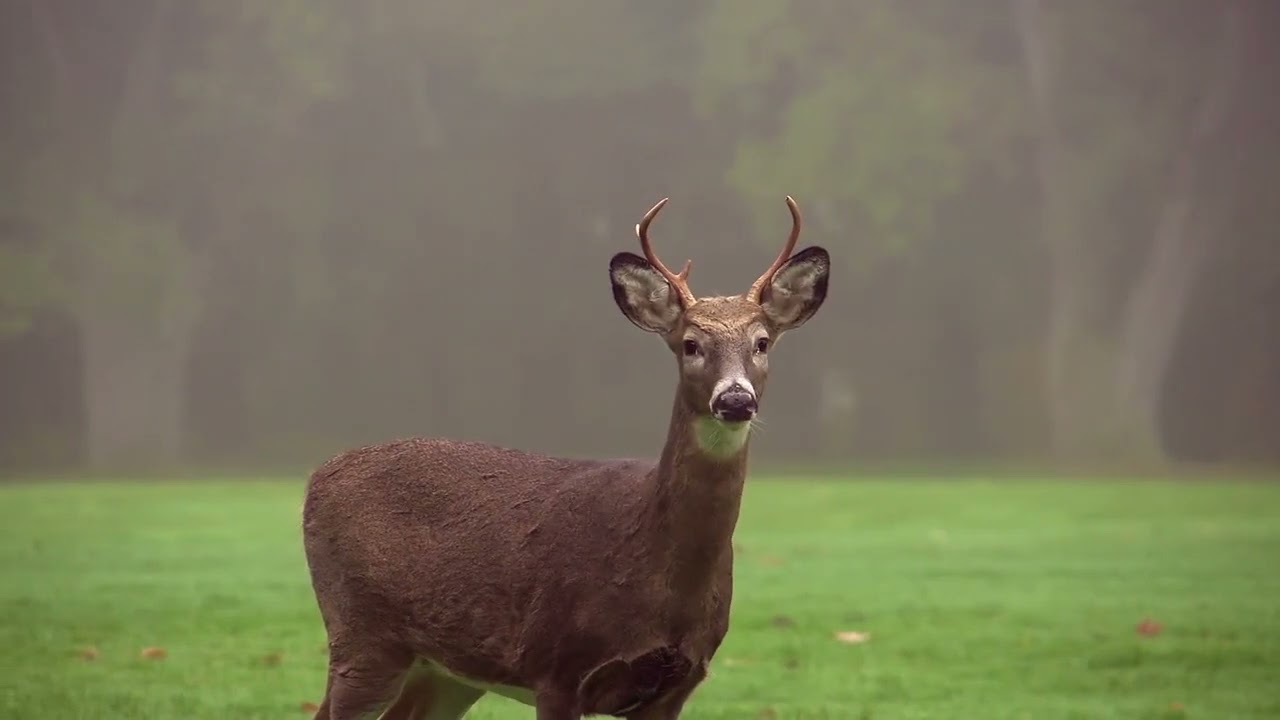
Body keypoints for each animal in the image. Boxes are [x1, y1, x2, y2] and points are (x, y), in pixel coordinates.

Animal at [301, 196, 830, 720]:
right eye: (690, 344)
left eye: (761, 343)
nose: (736, 399)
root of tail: (315, 478)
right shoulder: (554, 665)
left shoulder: (676, 685)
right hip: (362, 632)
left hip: (445, 670)